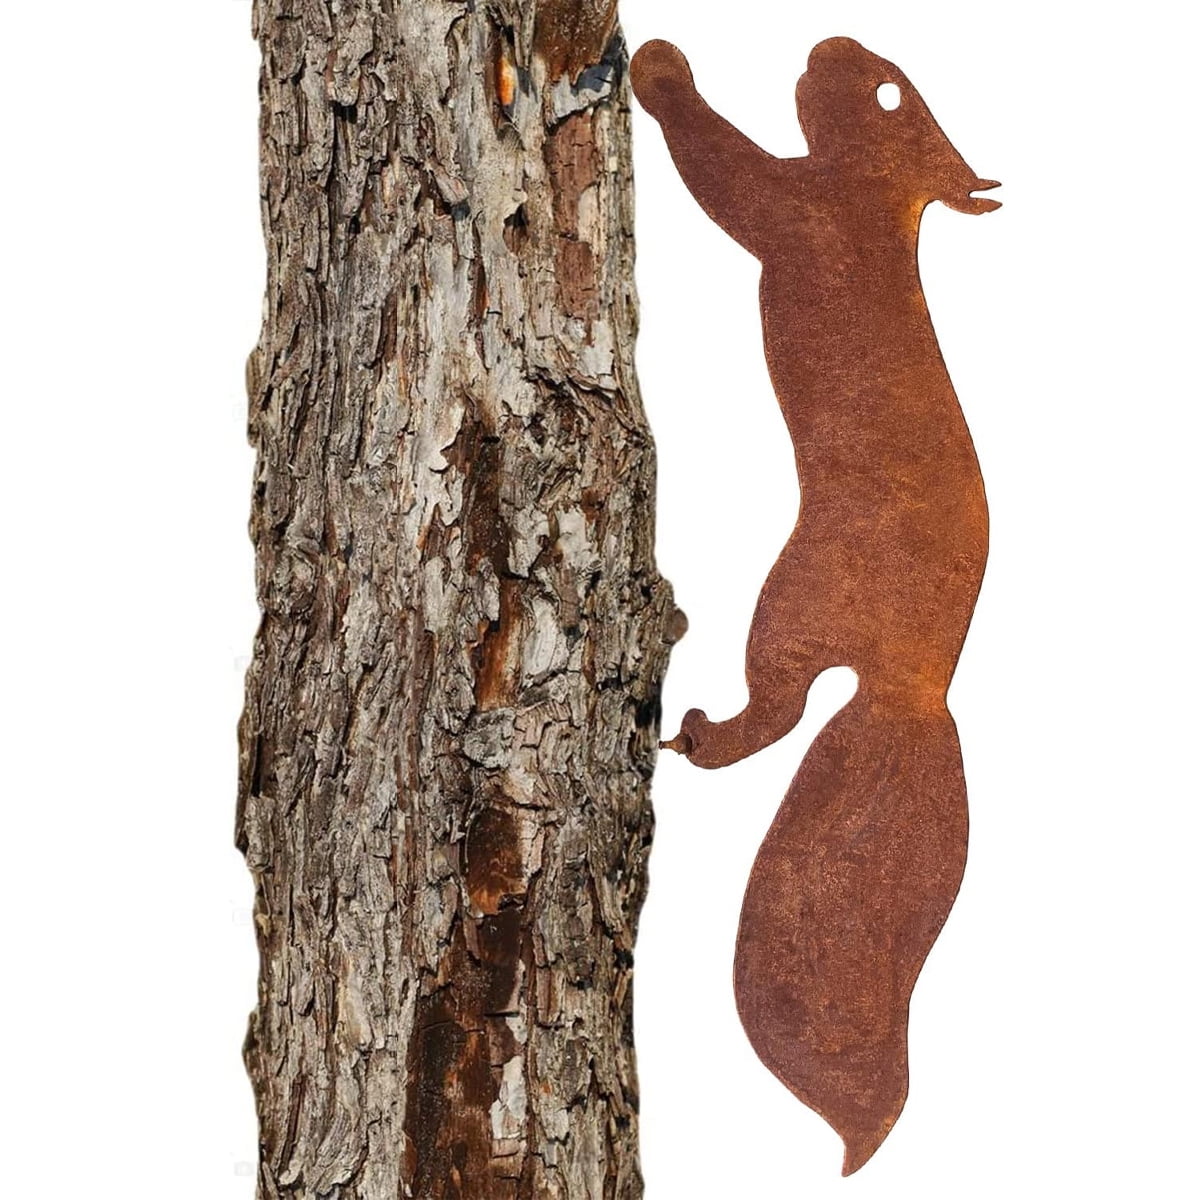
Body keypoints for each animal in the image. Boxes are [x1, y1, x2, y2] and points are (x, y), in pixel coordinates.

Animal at [631, 36, 999, 1174]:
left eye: (886, 91)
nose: (828, 46)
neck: (880, 205)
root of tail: (915, 689)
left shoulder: (800, 211)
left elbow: (729, 175)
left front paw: (659, 71)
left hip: (791, 603)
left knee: (777, 711)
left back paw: (697, 735)